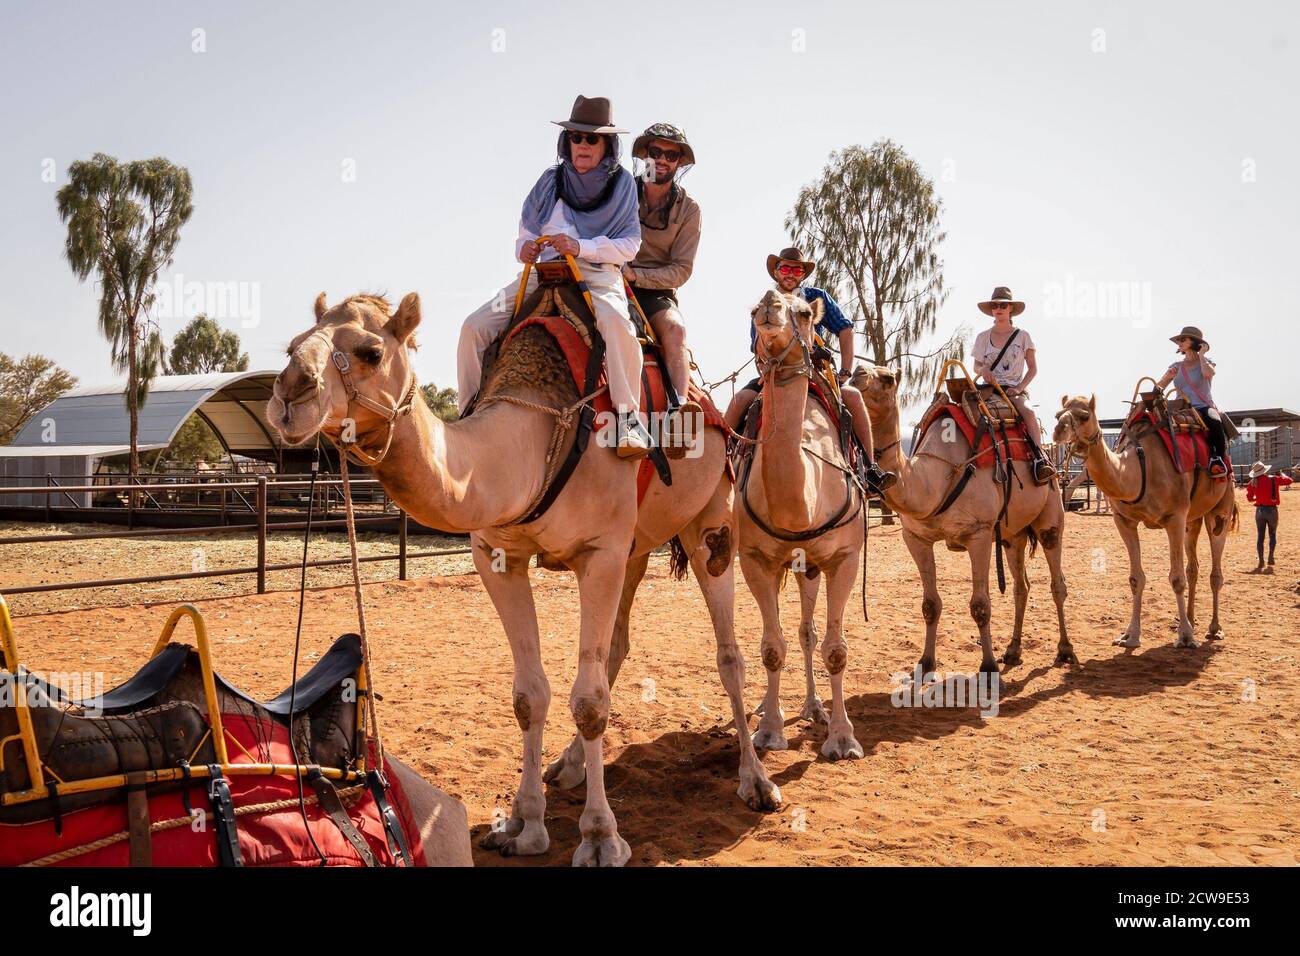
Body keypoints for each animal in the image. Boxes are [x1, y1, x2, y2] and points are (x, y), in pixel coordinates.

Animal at [268, 291, 779, 867]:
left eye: (371, 352)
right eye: (292, 344)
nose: (289, 392)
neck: (533, 440)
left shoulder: (599, 553)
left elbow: (590, 702)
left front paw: (599, 836)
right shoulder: (500, 555)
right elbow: (529, 695)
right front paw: (522, 825)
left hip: (710, 517)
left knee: (727, 653)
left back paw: (756, 781)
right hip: (635, 547)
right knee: (617, 647)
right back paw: (569, 766)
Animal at [736, 289, 865, 760]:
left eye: (807, 312)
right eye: (753, 310)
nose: (770, 304)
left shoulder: (845, 557)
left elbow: (836, 650)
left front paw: (843, 739)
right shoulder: (755, 559)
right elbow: (772, 648)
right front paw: (769, 732)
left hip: (810, 567)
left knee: (809, 632)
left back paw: (815, 709)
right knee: (793, 633)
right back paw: (769, 706)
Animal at [853, 365, 1076, 676]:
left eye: (887, 378)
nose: (856, 374)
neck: (936, 478)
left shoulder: (979, 534)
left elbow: (981, 605)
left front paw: (988, 666)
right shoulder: (915, 537)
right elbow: (930, 604)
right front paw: (925, 662)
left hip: (1050, 513)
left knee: (1057, 582)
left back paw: (1065, 650)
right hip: (1012, 534)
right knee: (1021, 586)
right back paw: (1013, 650)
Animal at [1053, 394, 1237, 648]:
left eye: (1085, 415)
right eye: (1057, 414)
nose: (1058, 430)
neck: (1140, 469)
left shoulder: (1175, 518)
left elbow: (1176, 579)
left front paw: (1186, 637)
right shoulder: (1124, 521)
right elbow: (1136, 578)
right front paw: (1130, 635)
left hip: (1220, 509)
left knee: (1215, 571)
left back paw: (1214, 628)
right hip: (1193, 519)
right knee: (1193, 568)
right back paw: (1189, 619)